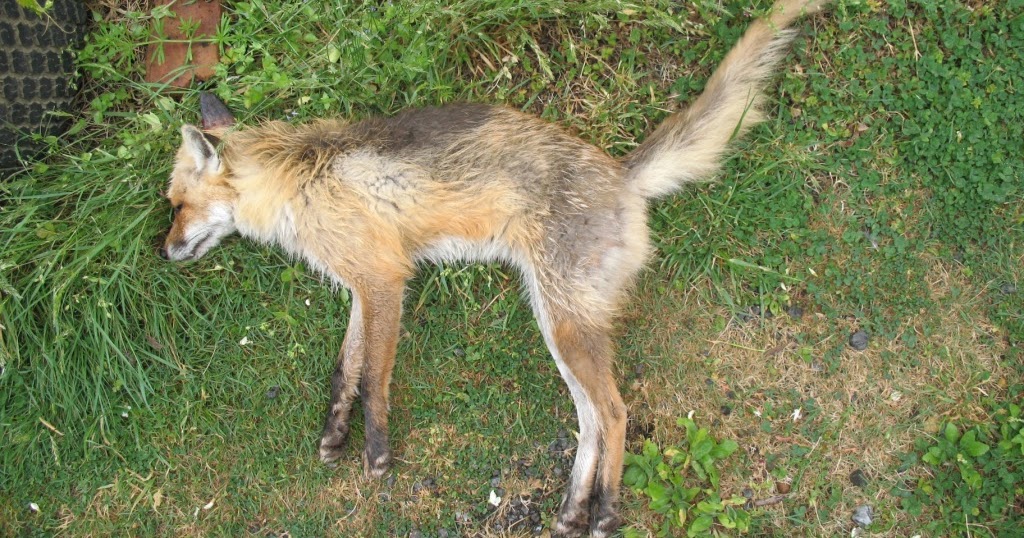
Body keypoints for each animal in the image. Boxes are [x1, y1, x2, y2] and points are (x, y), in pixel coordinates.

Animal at [160, 0, 828, 535]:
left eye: (174, 206)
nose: (163, 253)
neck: (299, 178)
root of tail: (622, 173)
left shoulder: (384, 280)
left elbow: (374, 379)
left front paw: (375, 454)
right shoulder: (362, 286)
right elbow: (343, 371)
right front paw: (333, 436)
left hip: (564, 322)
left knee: (615, 414)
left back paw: (607, 511)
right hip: (560, 323)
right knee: (591, 420)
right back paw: (572, 510)